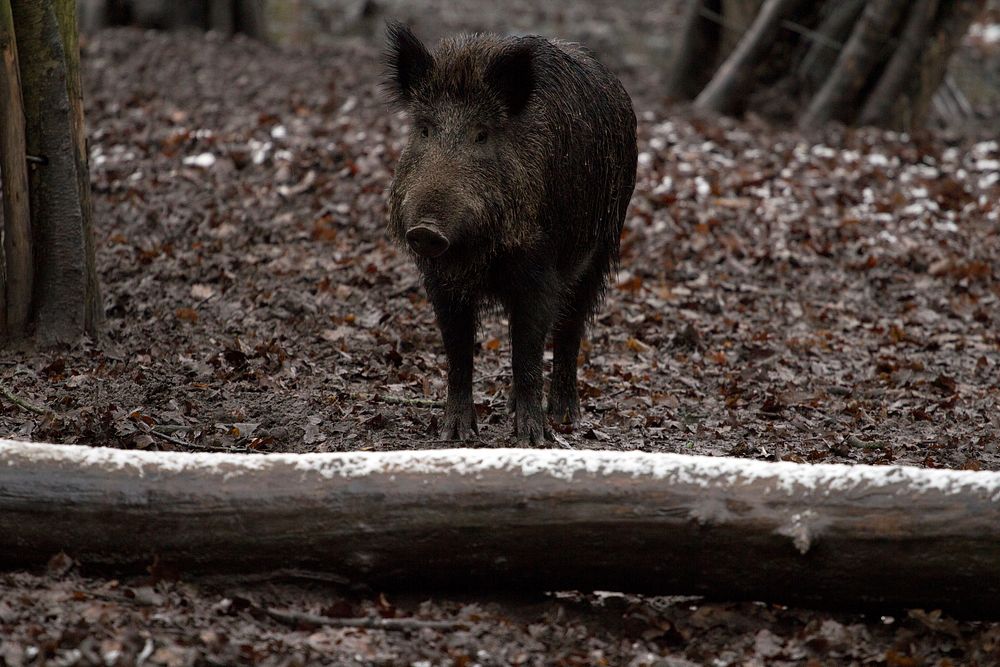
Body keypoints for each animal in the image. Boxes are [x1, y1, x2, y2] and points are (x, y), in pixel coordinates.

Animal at [384, 22, 637, 445]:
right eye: (424, 129)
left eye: (482, 134)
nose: (426, 231)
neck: (481, 252)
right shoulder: (440, 280)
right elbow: (458, 351)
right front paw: (454, 434)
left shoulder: (539, 269)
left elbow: (528, 352)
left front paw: (534, 439)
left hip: (604, 244)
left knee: (570, 329)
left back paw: (566, 417)